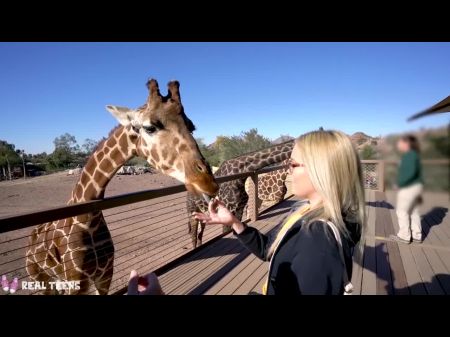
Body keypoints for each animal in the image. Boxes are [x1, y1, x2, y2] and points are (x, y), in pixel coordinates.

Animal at [25, 77, 219, 292]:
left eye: (191, 126)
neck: (88, 220)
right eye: (149, 127)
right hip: (40, 278)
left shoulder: (105, 276)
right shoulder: (76, 282)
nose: (207, 183)